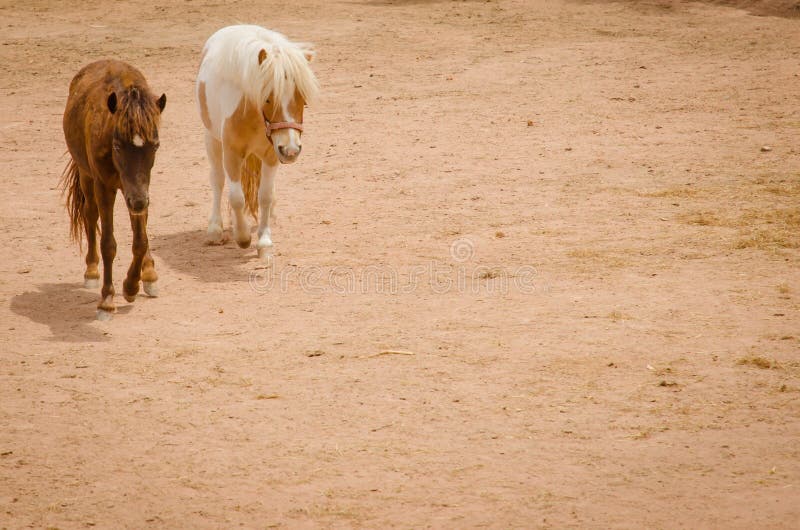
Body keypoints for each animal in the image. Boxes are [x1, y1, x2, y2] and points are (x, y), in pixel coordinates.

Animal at [61, 60, 167, 320]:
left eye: (155, 145)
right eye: (118, 145)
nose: (138, 202)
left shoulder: (139, 190)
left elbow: (141, 240)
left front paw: (131, 286)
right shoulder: (105, 188)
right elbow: (108, 243)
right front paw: (107, 300)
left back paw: (149, 274)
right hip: (87, 176)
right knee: (90, 215)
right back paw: (91, 270)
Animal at [196, 24, 319, 257]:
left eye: (302, 98)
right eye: (268, 98)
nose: (291, 150)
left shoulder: (271, 154)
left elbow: (265, 196)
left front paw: (264, 241)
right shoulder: (232, 153)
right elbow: (236, 197)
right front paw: (243, 237)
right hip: (211, 140)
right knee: (217, 180)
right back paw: (215, 229)